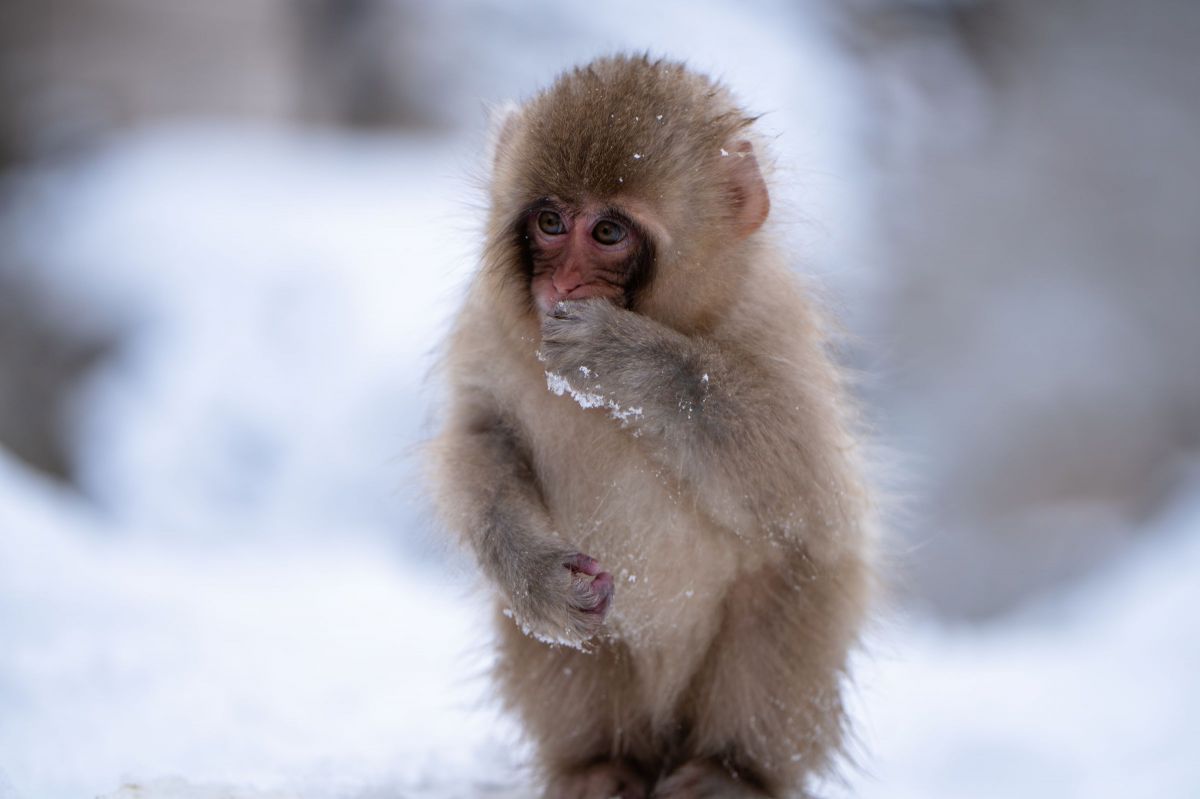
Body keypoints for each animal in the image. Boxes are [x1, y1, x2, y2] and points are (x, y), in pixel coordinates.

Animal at [430, 55, 874, 799]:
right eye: (550, 221)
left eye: (608, 234)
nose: (564, 285)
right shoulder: (487, 333)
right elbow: (482, 439)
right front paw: (535, 573)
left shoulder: (773, 325)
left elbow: (806, 491)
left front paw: (626, 355)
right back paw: (598, 767)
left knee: (787, 578)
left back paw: (730, 772)